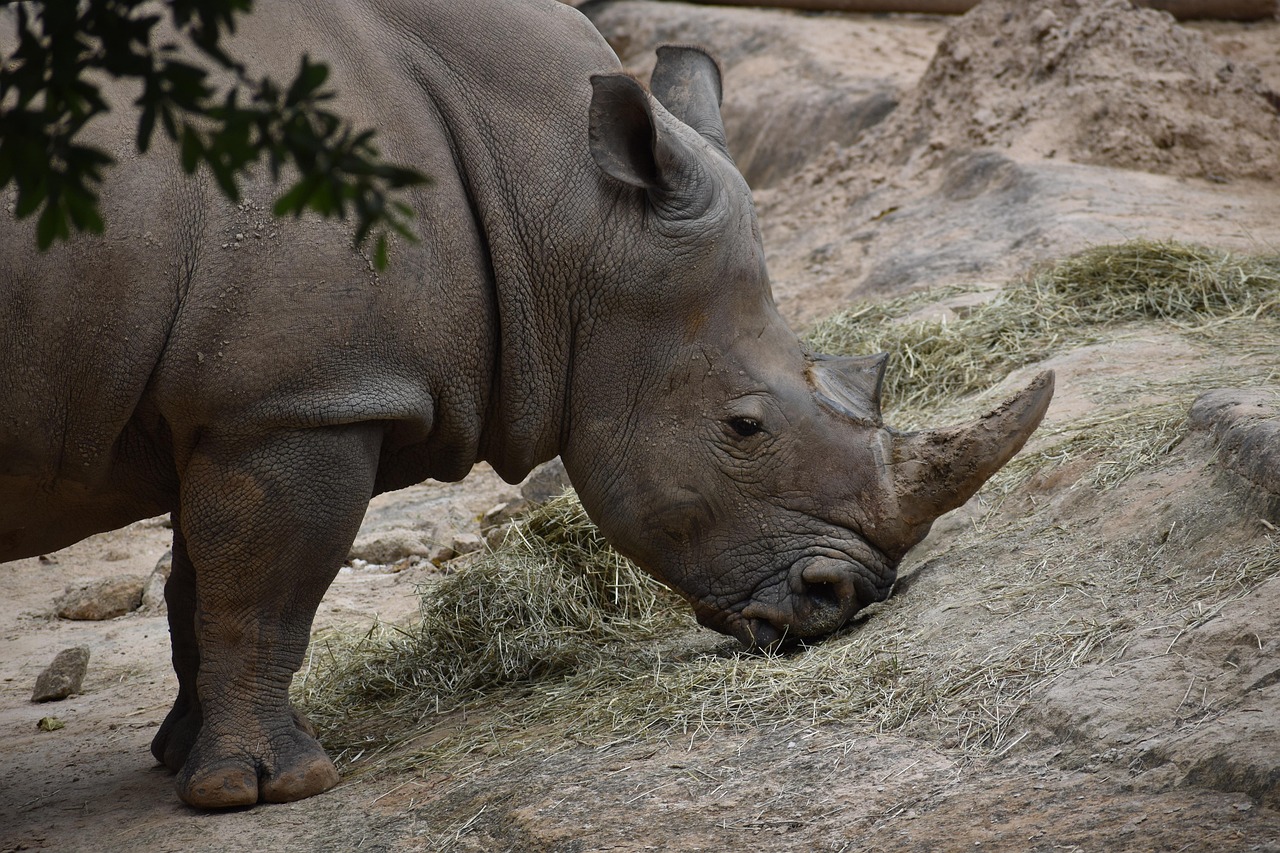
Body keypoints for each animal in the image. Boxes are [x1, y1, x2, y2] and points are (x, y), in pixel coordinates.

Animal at [0, 0, 1052, 809]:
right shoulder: (304, 400)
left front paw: (184, 758)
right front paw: (268, 788)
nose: (844, 601)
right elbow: (264, 590)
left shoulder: (240, 401)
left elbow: (202, 582)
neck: (560, 203)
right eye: (743, 428)